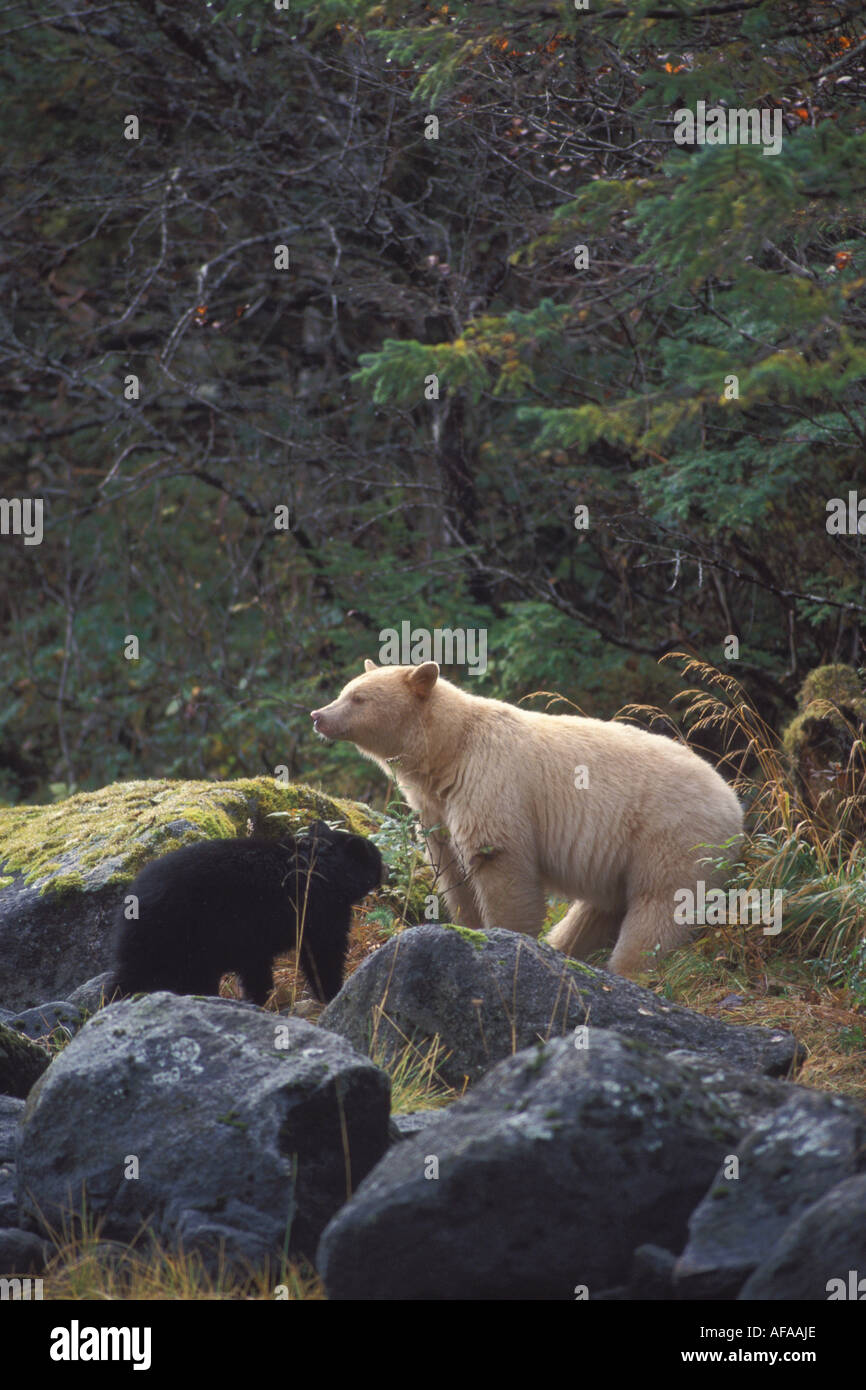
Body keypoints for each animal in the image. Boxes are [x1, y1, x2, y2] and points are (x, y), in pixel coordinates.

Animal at [110, 821, 383, 1004]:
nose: (386, 868)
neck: (322, 866)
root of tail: (135, 896)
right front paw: (332, 992)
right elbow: (324, 953)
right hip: (172, 933)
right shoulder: (319, 910)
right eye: (376, 856)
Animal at [311, 662, 744, 976]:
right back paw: (566, 948)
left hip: (675, 833)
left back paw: (627, 967)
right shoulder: (436, 808)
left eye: (358, 697)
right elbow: (453, 873)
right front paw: (466, 928)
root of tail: (734, 804)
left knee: (662, 904)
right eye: (345, 690)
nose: (318, 715)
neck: (449, 750)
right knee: (595, 913)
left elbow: (499, 861)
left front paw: (507, 939)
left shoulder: (491, 779)